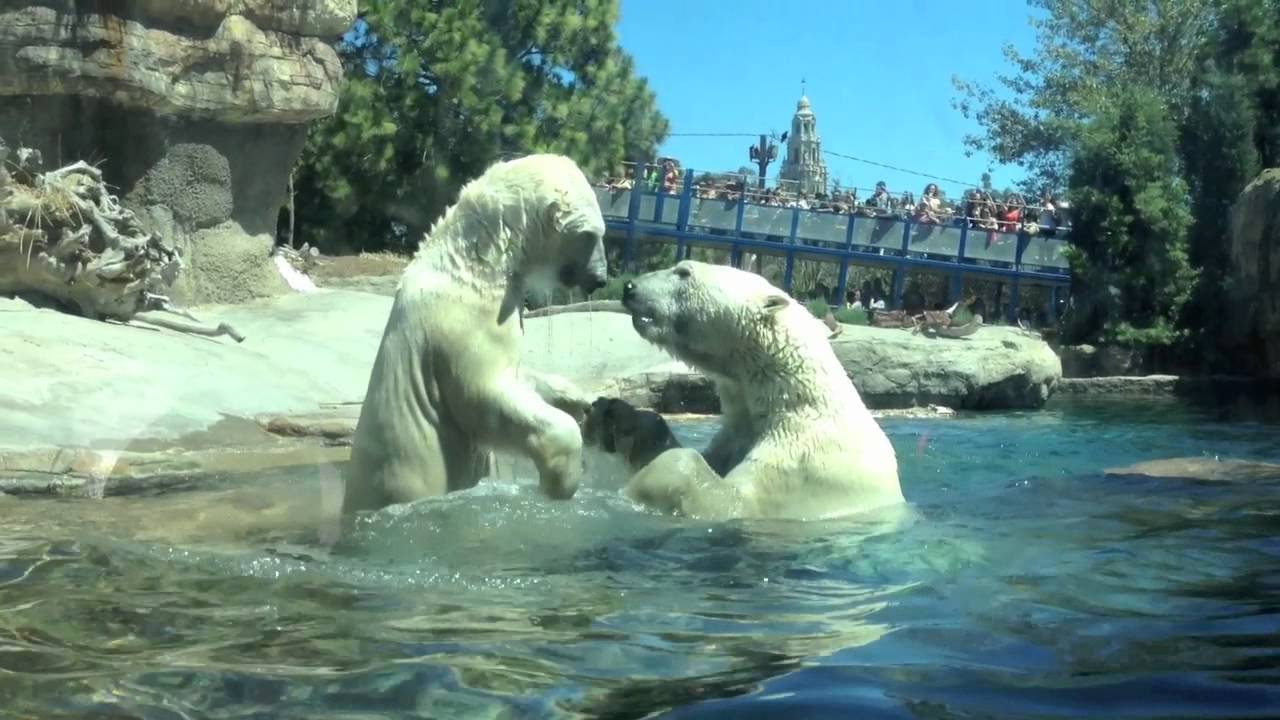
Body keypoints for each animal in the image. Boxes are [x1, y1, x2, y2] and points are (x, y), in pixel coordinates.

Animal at [342, 154, 608, 515]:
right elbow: (483, 398)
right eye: (591, 235)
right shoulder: (462, 323)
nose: (601, 279)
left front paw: (578, 397)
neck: (475, 264)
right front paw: (561, 480)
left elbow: (519, 376)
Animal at [582, 260, 904, 521]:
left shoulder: (802, 466)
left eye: (684, 272)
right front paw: (616, 416)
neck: (792, 400)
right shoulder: (736, 432)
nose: (630, 287)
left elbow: (731, 499)